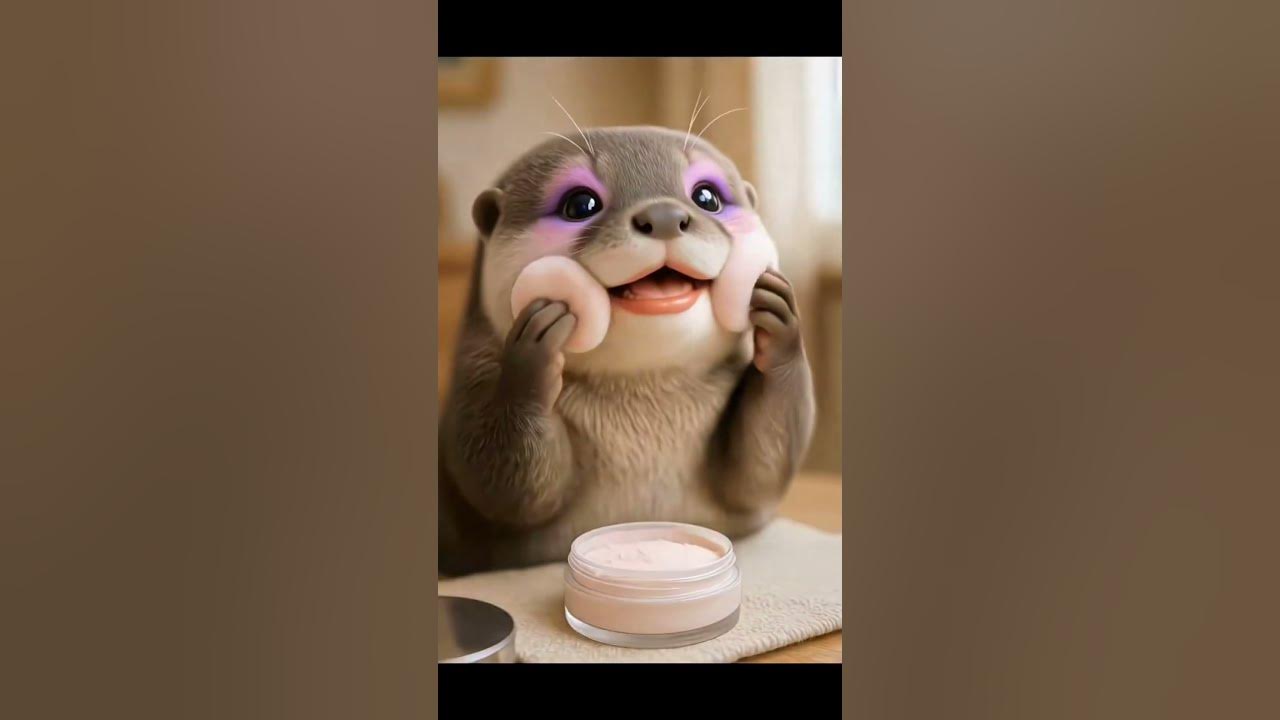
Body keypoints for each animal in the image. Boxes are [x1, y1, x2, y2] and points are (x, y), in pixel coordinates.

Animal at [439, 126, 815, 576]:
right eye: (580, 203)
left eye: (707, 197)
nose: (666, 217)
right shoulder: (476, 380)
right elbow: (506, 485)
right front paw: (534, 350)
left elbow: (759, 471)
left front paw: (781, 324)